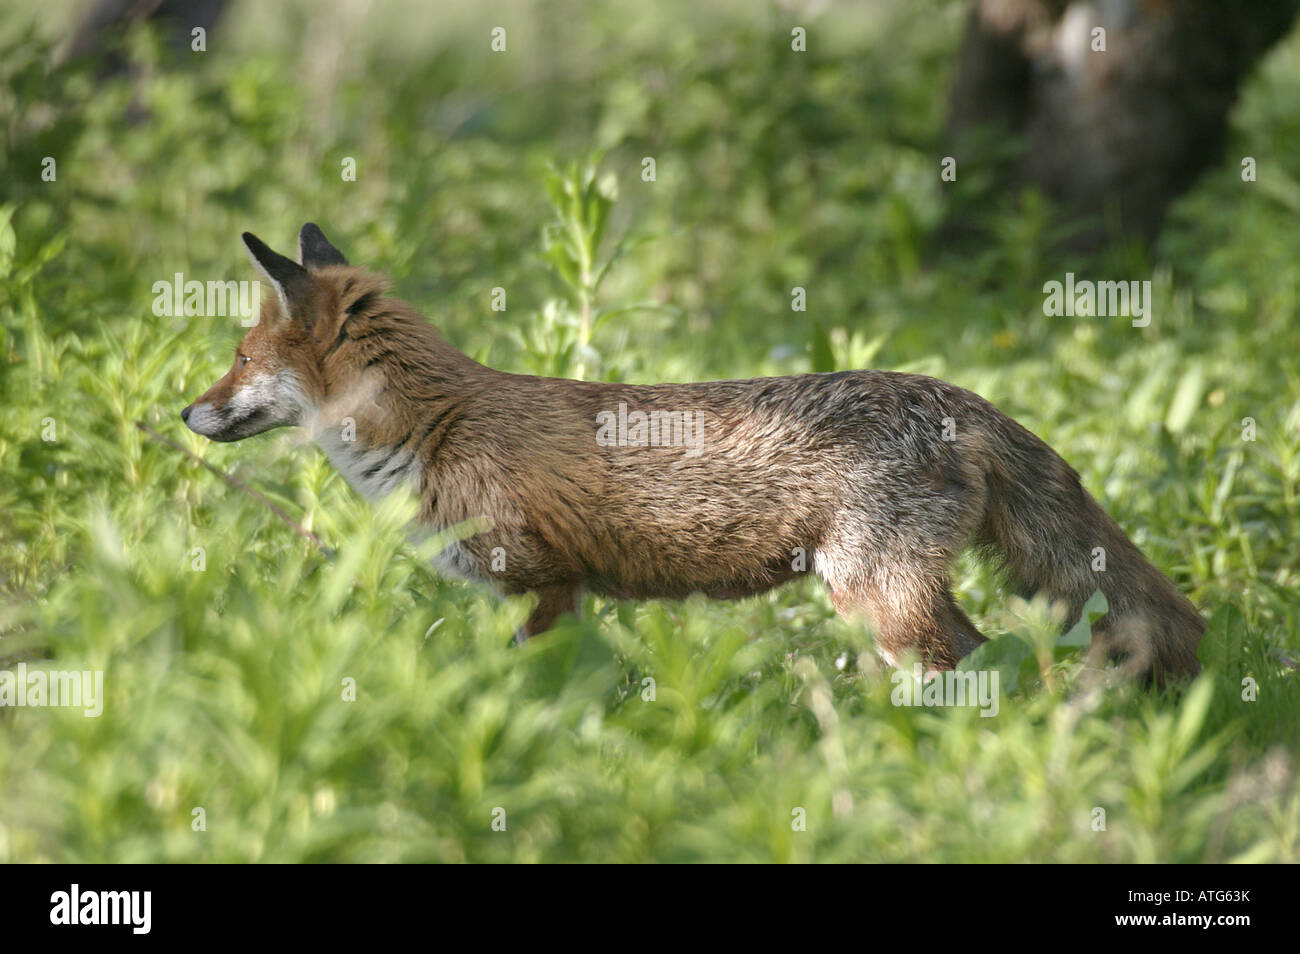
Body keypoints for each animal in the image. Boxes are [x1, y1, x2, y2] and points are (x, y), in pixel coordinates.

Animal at [181, 223, 1204, 681]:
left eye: (239, 360)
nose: (187, 412)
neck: (436, 429)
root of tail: (955, 395)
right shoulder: (553, 591)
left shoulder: (543, 584)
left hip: (876, 596)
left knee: (979, 668)